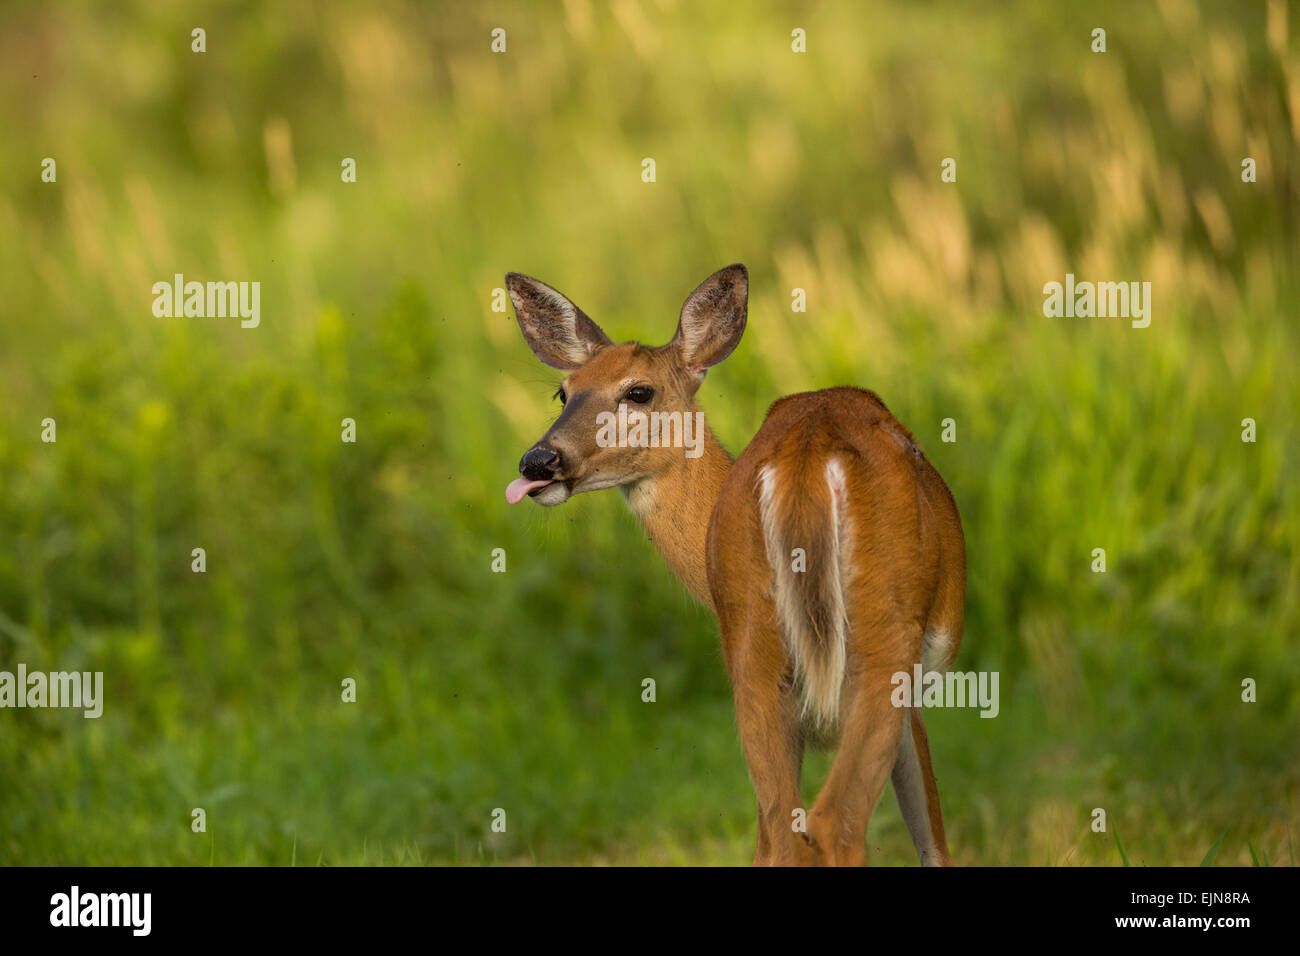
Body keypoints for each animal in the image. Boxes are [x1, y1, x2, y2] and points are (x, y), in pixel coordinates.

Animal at [503, 263, 966, 866]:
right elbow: (932, 841)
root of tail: (806, 456)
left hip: (754, 654)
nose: (539, 461)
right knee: (833, 821)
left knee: (783, 832)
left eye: (638, 391)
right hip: (882, 639)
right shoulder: (912, 698)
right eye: (564, 392)